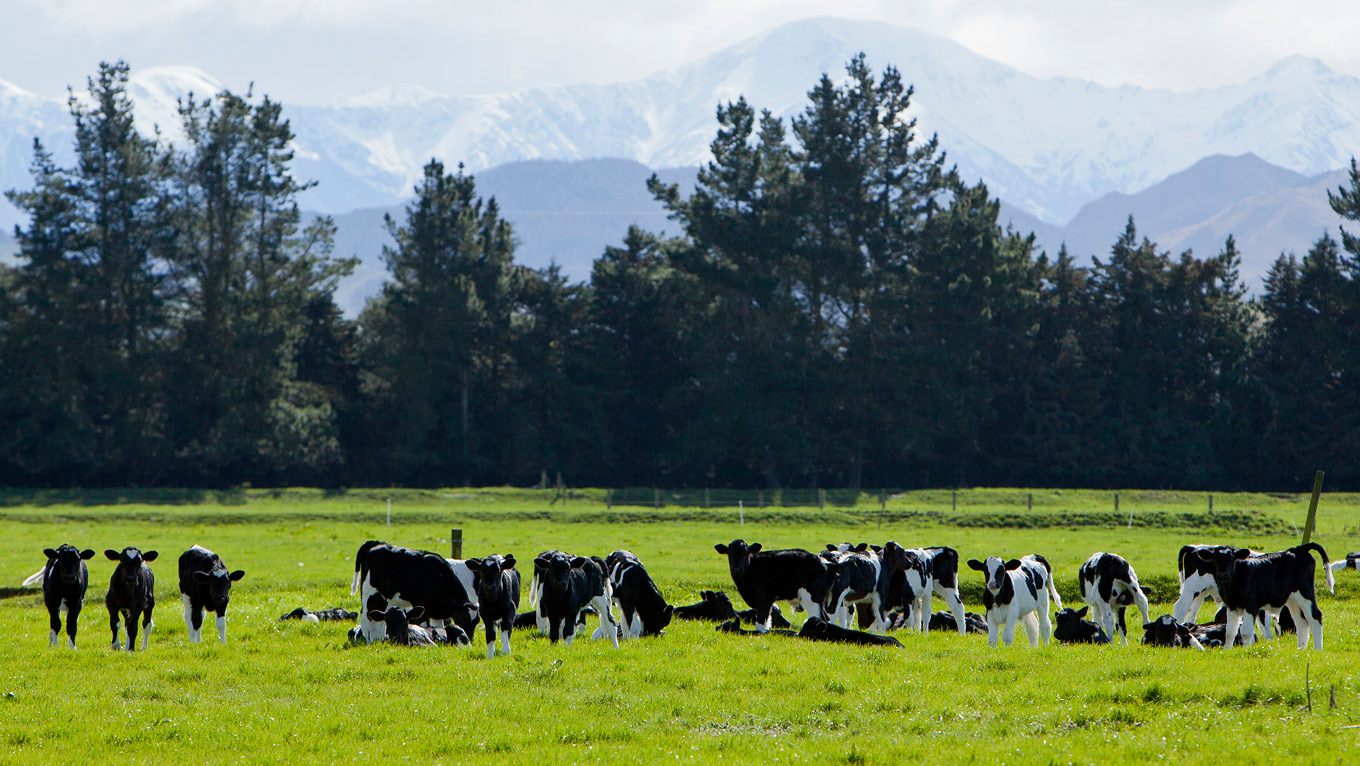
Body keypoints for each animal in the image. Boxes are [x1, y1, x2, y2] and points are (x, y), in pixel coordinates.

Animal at [351, 540, 479, 643]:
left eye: (477, 622)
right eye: (462, 619)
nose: (469, 638)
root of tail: (375, 543)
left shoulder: (436, 611)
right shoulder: (422, 605)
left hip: (382, 596)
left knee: (378, 618)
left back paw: (377, 640)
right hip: (369, 591)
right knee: (366, 615)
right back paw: (368, 640)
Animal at [1193, 543, 1332, 649]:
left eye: (1232, 559)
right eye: (1215, 559)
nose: (1223, 575)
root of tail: (1298, 549)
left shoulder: (1251, 605)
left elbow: (1246, 632)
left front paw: (1246, 650)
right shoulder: (1231, 605)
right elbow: (1230, 632)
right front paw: (1227, 651)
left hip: (1305, 593)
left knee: (1315, 616)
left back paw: (1317, 649)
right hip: (1292, 600)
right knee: (1301, 622)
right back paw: (1301, 650)